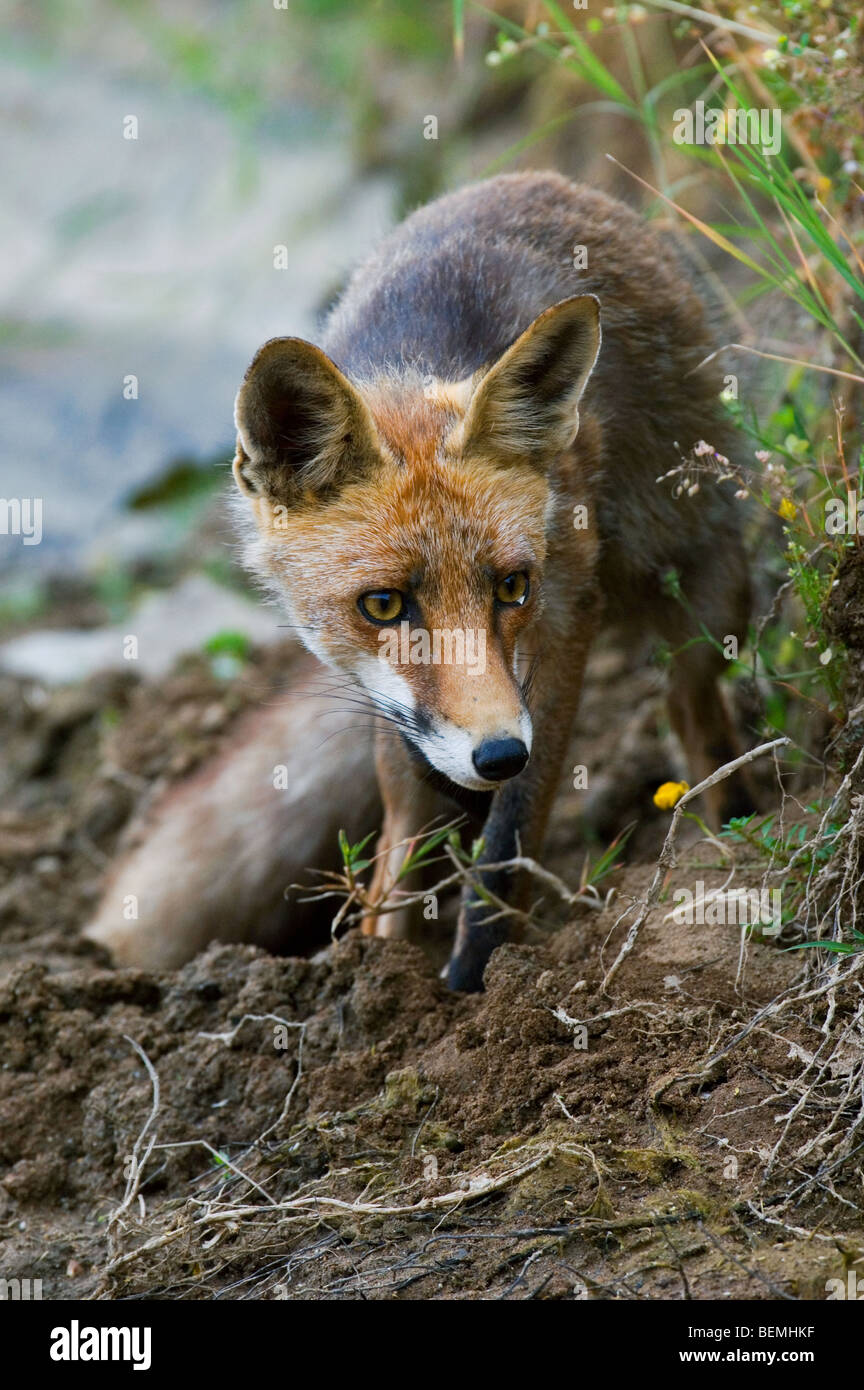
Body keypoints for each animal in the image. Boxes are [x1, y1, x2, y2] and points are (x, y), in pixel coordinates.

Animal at [225, 169, 753, 992]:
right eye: (383, 604)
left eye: (512, 587)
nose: (498, 755)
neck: (414, 360)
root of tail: (542, 178)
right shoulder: (401, 713)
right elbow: (399, 843)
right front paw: (378, 968)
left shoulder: (565, 618)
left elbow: (509, 840)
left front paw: (472, 981)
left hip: (709, 603)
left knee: (696, 719)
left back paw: (718, 835)